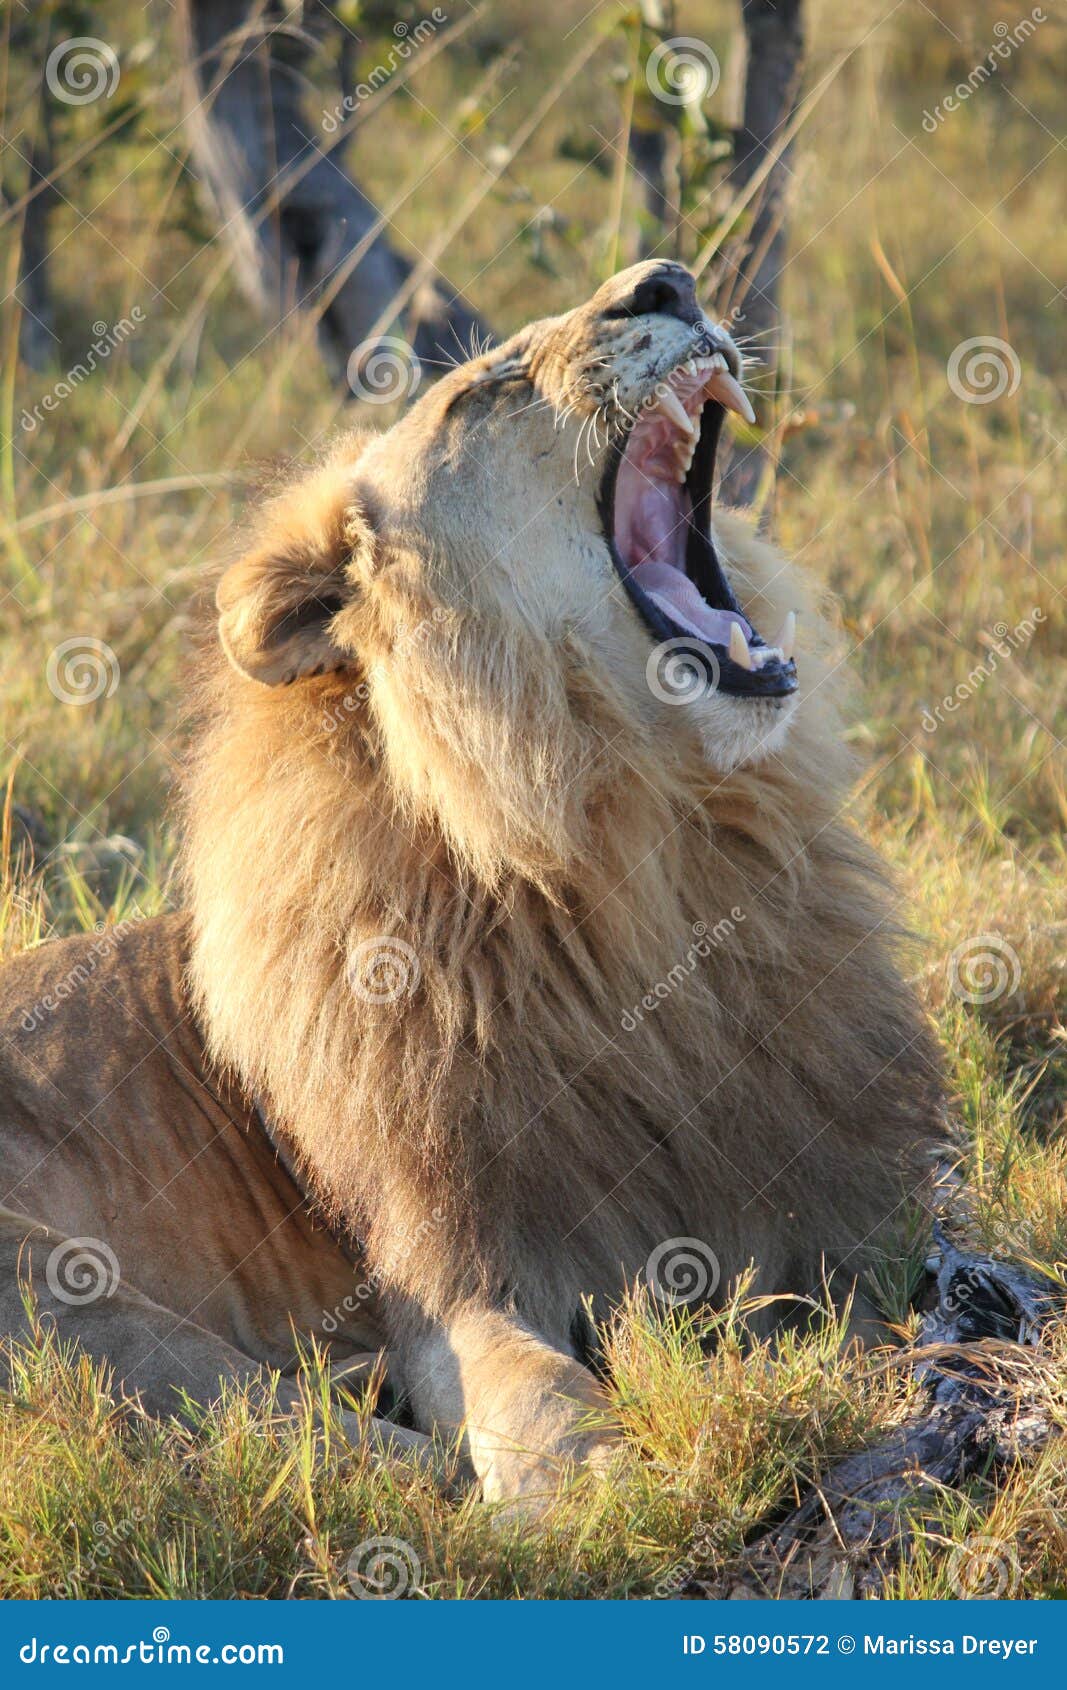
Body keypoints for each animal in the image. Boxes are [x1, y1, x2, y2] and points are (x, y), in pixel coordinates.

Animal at [0, 261, 943, 1506]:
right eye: (484, 390)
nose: (666, 280)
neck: (633, 848)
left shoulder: (849, 1199)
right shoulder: (450, 1268)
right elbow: (533, 1390)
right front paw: (606, 1482)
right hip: (63, 1296)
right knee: (290, 1435)